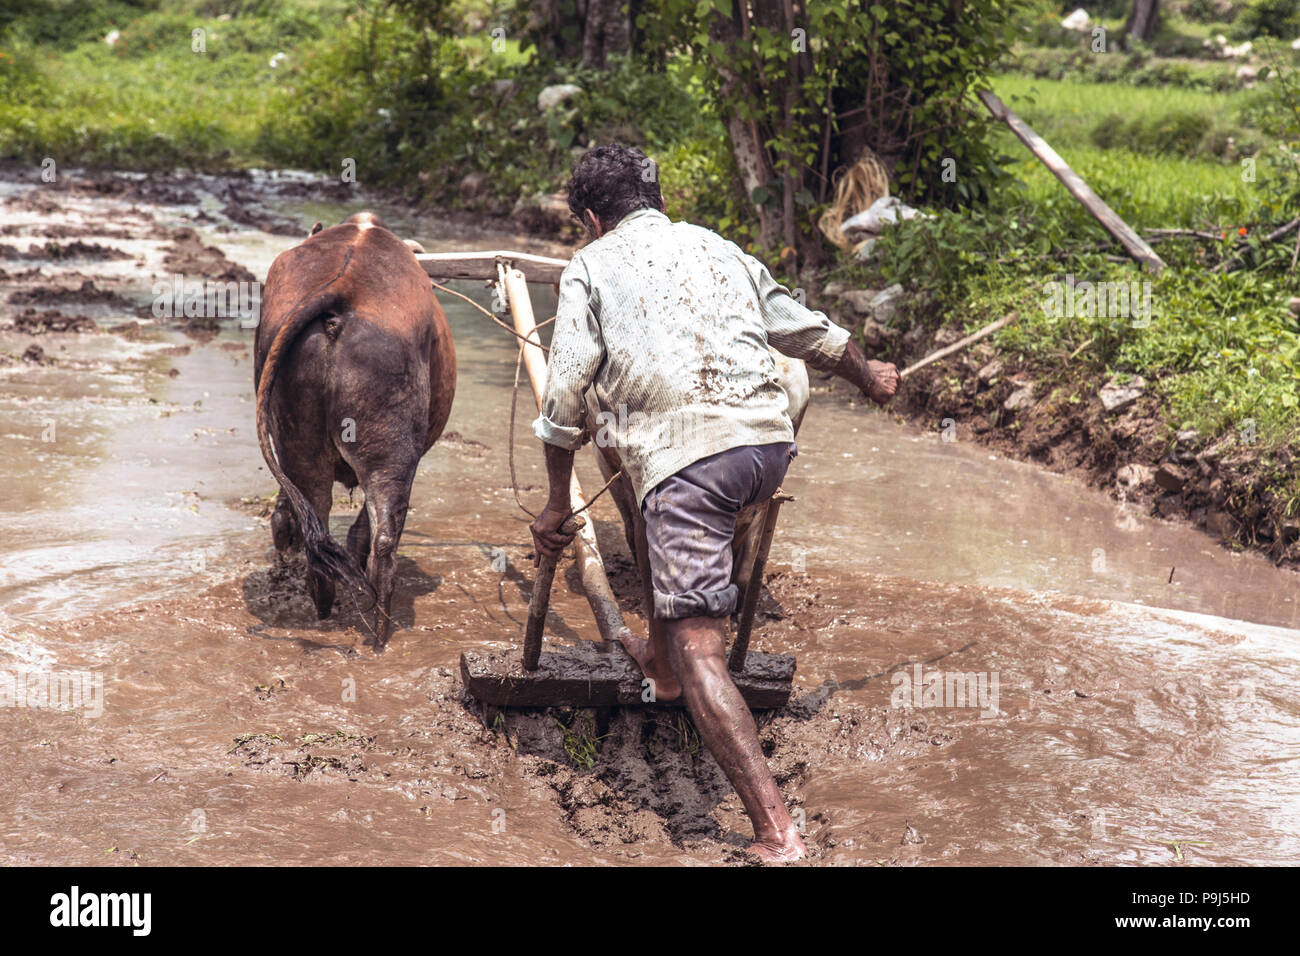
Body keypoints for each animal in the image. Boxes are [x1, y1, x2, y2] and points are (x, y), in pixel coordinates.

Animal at [254, 212, 456, 650]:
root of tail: (344, 290)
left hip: (299, 443)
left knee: (315, 522)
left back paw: (324, 606)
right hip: (393, 452)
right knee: (383, 541)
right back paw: (379, 633)